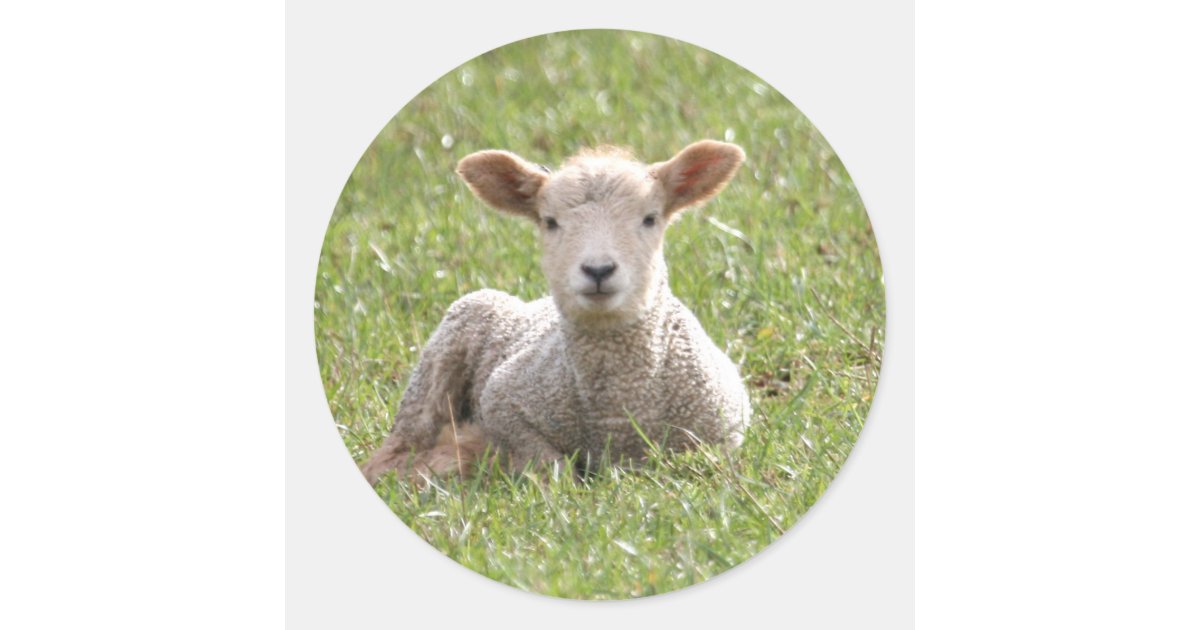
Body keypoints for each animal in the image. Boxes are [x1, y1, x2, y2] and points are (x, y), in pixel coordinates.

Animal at [360, 140, 752, 485]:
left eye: (650, 219)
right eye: (549, 221)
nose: (598, 270)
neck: (617, 411)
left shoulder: (723, 431)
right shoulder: (504, 399)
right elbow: (551, 468)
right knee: (393, 452)